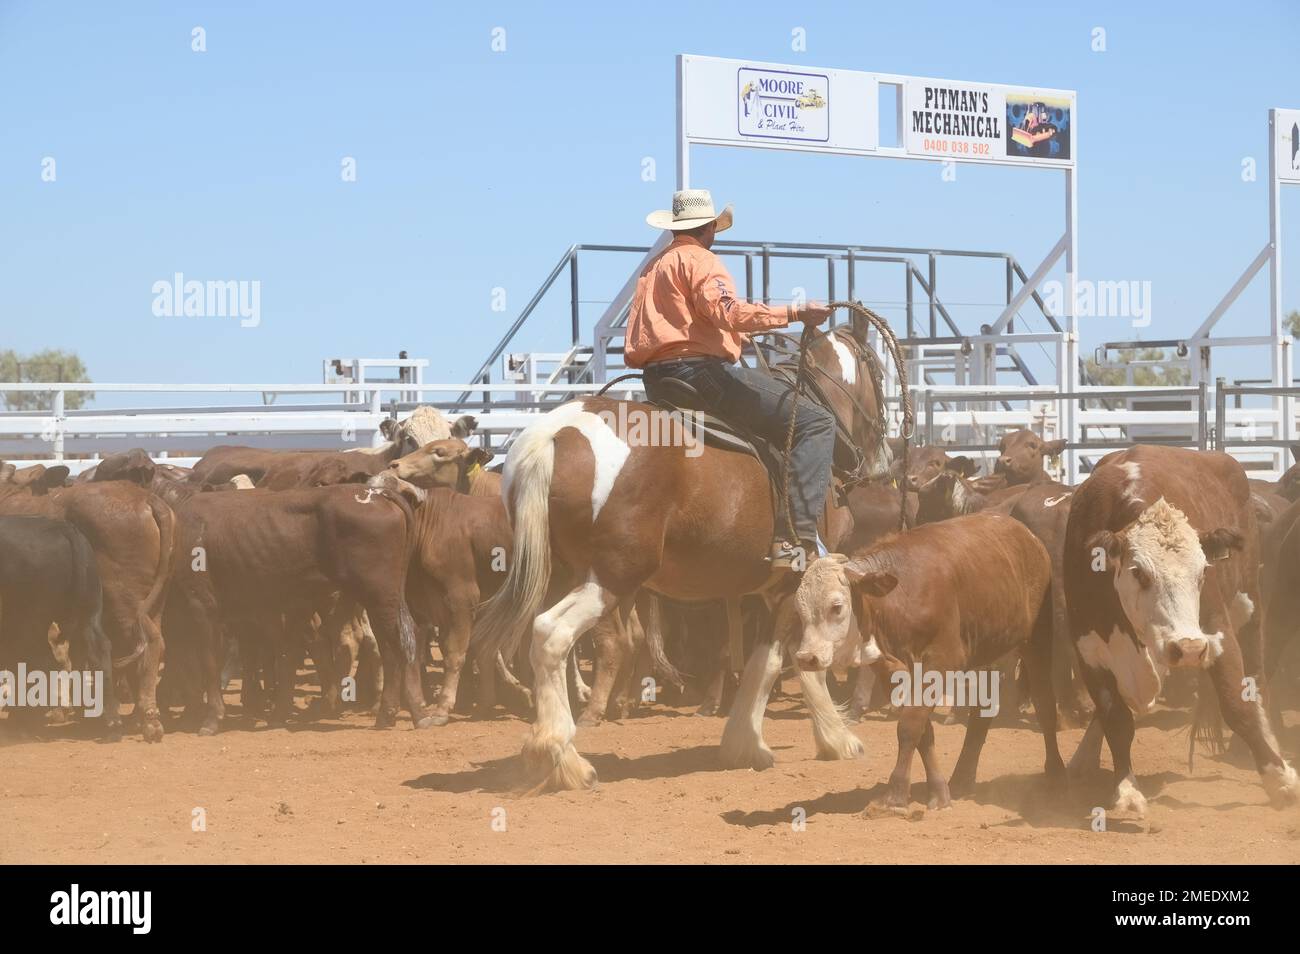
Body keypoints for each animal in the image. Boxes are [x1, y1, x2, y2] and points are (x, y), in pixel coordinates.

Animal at [0, 515, 117, 734]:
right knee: (98, 650)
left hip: (30, 621)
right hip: (90, 611)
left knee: (35, 659)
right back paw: (111, 721)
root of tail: (63, 527)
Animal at [792, 512, 1060, 810]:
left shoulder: (942, 663)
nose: (807, 658)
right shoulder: (890, 671)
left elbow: (909, 726)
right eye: (799, 610)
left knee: (1045, 705)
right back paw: (962, 779)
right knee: (980, 717)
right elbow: (923, 730)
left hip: (1037, 642)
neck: (902, 596)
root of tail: (1028, 536)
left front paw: (896, 793)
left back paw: (1055, 773)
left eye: (836, 607)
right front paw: (939, 791)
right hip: (988, 654)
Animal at [1063, 444, 1297, 813]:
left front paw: (1280, 779)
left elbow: (1237, 705)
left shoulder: (1216, 631)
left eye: (1203, 571)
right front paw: (1126, 788)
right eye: (1139, 573)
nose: (1188, 649)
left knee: (1257, 680)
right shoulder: (1088, 647)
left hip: (1250, 608)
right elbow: (1115, 717)